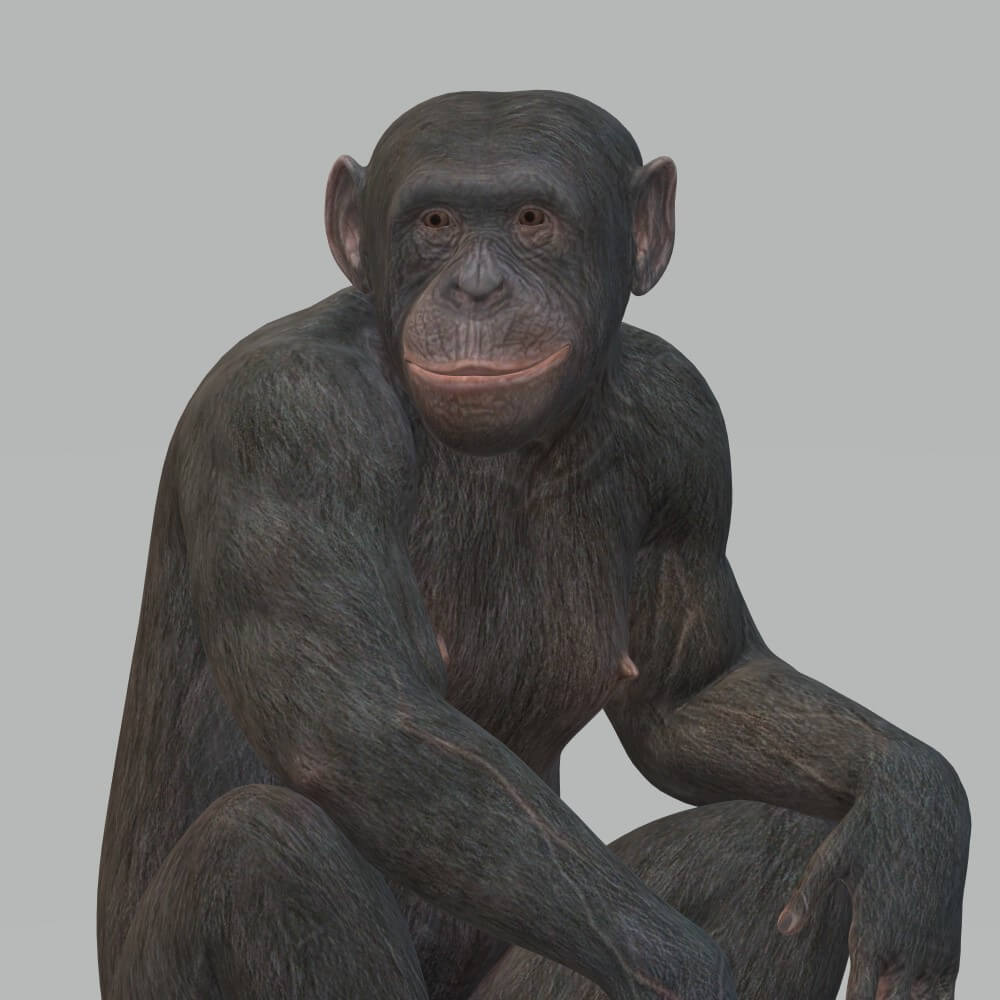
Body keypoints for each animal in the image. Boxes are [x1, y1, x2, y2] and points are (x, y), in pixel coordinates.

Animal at [97, 91, 969, 1000]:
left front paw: (916, 806)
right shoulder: (287, 418)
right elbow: (357, 720)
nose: (477, 288)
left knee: (782, 832)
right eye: (435, 221)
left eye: (531, 219)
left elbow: (689, 696)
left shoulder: (688, 430)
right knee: (267, 846)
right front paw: (680, 968)